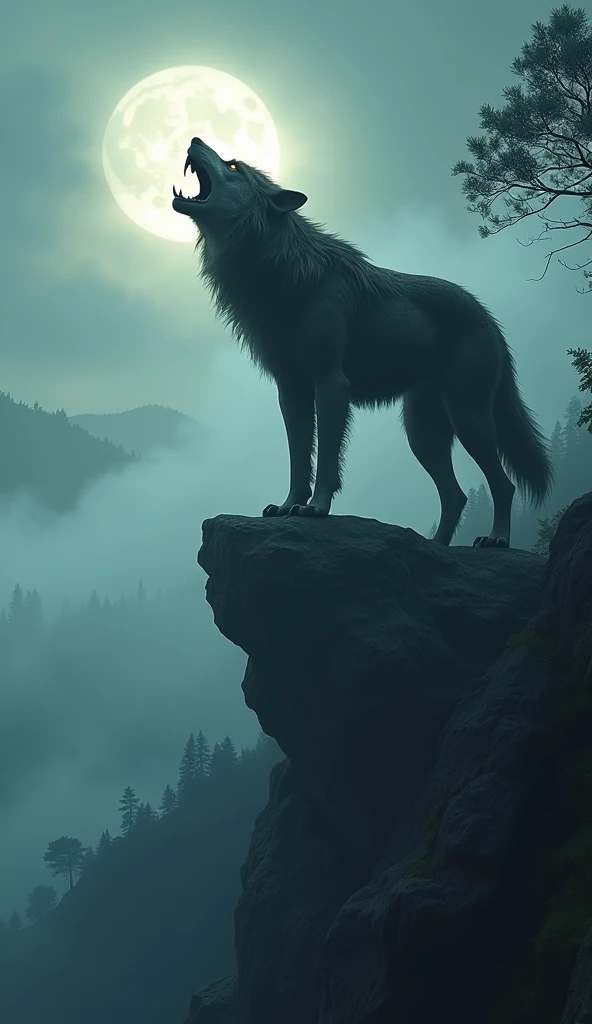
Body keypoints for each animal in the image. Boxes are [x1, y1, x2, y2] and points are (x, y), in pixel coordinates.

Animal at [173, 137, 552, 547]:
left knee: (504, 485)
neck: (285, 273)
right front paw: (288, 504)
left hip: (469, 420)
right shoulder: (290, 390)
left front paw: (315, 508)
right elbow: (298, 459)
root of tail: (489, 318)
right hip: (423, 436)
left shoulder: (330, 383)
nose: (194, 139)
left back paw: (496, 539)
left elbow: (326, 460)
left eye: (233, 165)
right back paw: (436, 546)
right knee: (457, 495)